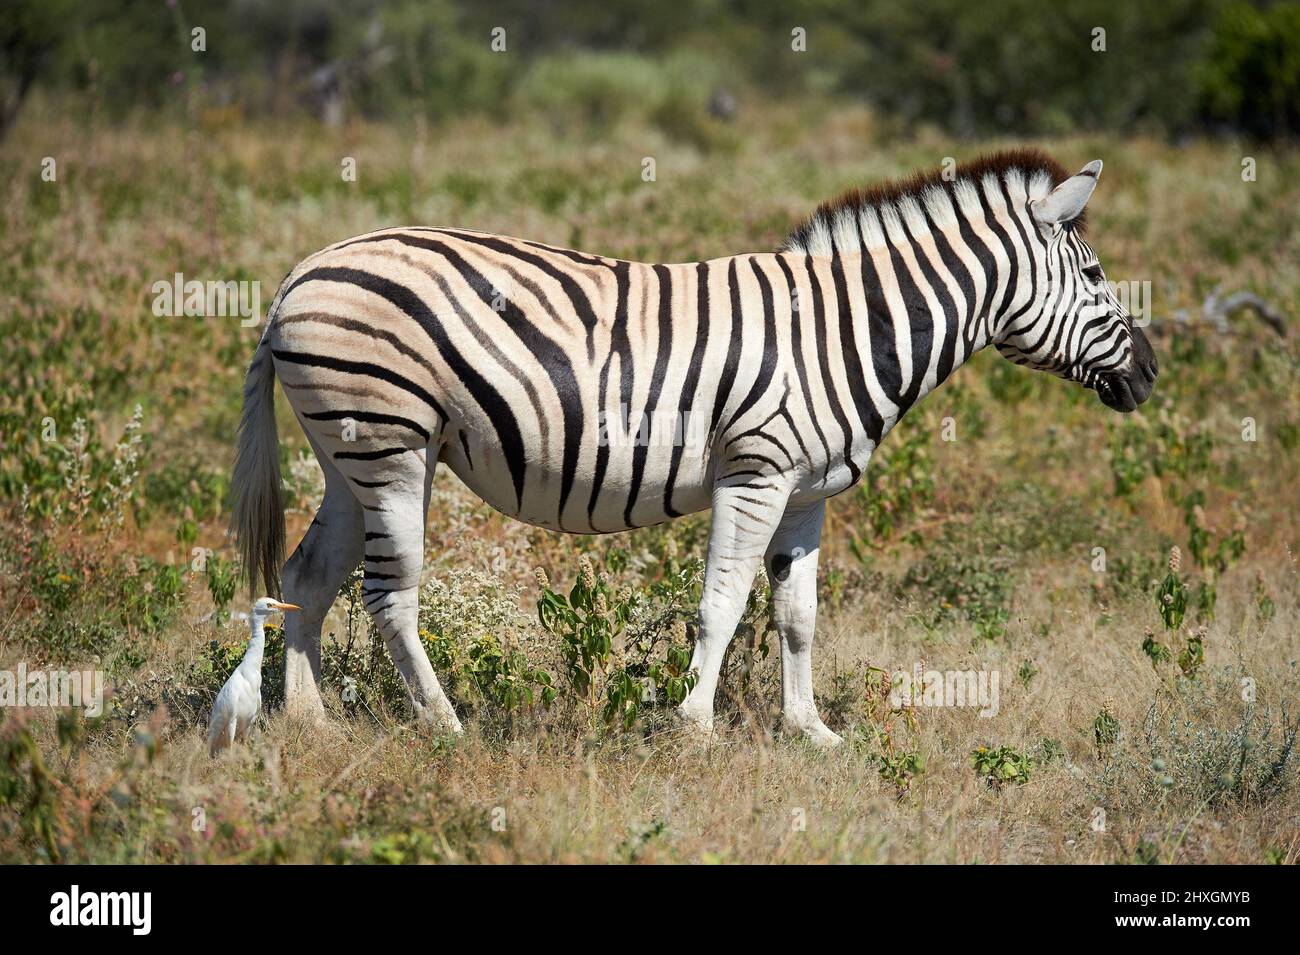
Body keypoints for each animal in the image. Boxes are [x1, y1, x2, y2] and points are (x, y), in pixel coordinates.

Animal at [231, 149, 1157, 745]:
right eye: (1097, 276)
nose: (1150, 372)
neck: (843, 332)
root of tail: (298, 275)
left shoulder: (807, 493)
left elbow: (796, 614)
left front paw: (811, 731)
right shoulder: (756, 472)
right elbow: (723, 602)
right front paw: (696, 726)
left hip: (350, 453)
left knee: (308, 577)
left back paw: (310, 725)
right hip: (390, 442)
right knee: (390, 595)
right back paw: (447, 725)